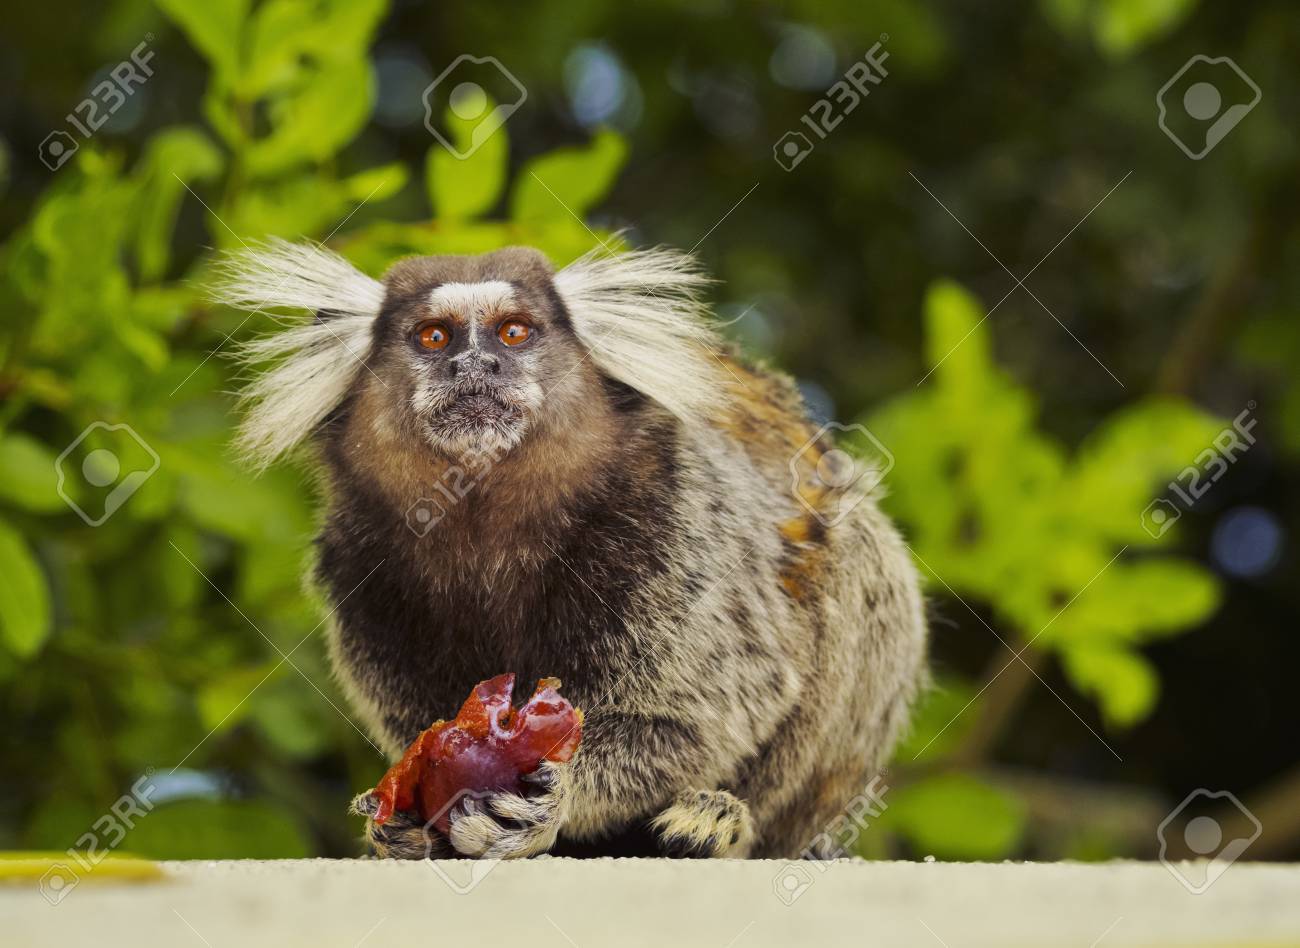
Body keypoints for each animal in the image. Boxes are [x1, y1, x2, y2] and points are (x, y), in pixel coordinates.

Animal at [213, 238, 927, 860]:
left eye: (514, 333)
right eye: (434, 337)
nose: (474, 366)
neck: (485, 520)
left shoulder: (674, 521)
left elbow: (703, 717)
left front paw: (550, 802)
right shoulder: (360, 565)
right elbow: (421, 726)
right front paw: (407, 828)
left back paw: (724, 823)